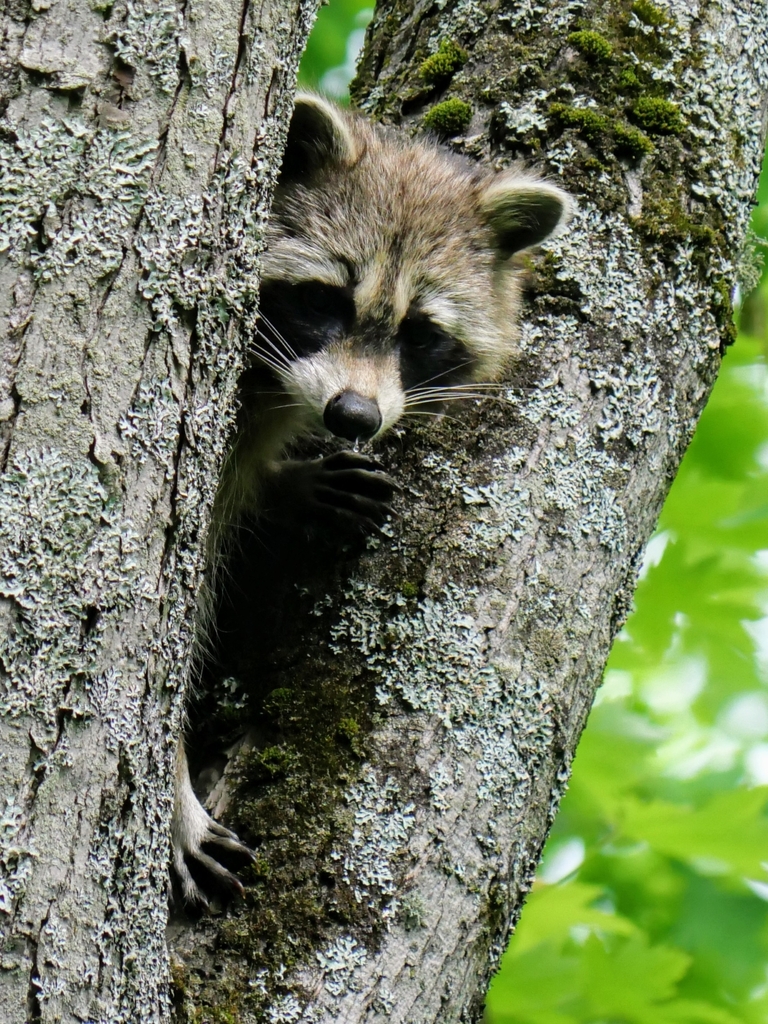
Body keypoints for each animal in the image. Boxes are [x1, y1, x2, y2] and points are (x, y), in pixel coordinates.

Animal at [171, 93, 573, 906]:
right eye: (323, 299)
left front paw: (288, 487)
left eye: (420, 332)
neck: (264, 380)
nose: (353, 417)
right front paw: (172, 792)